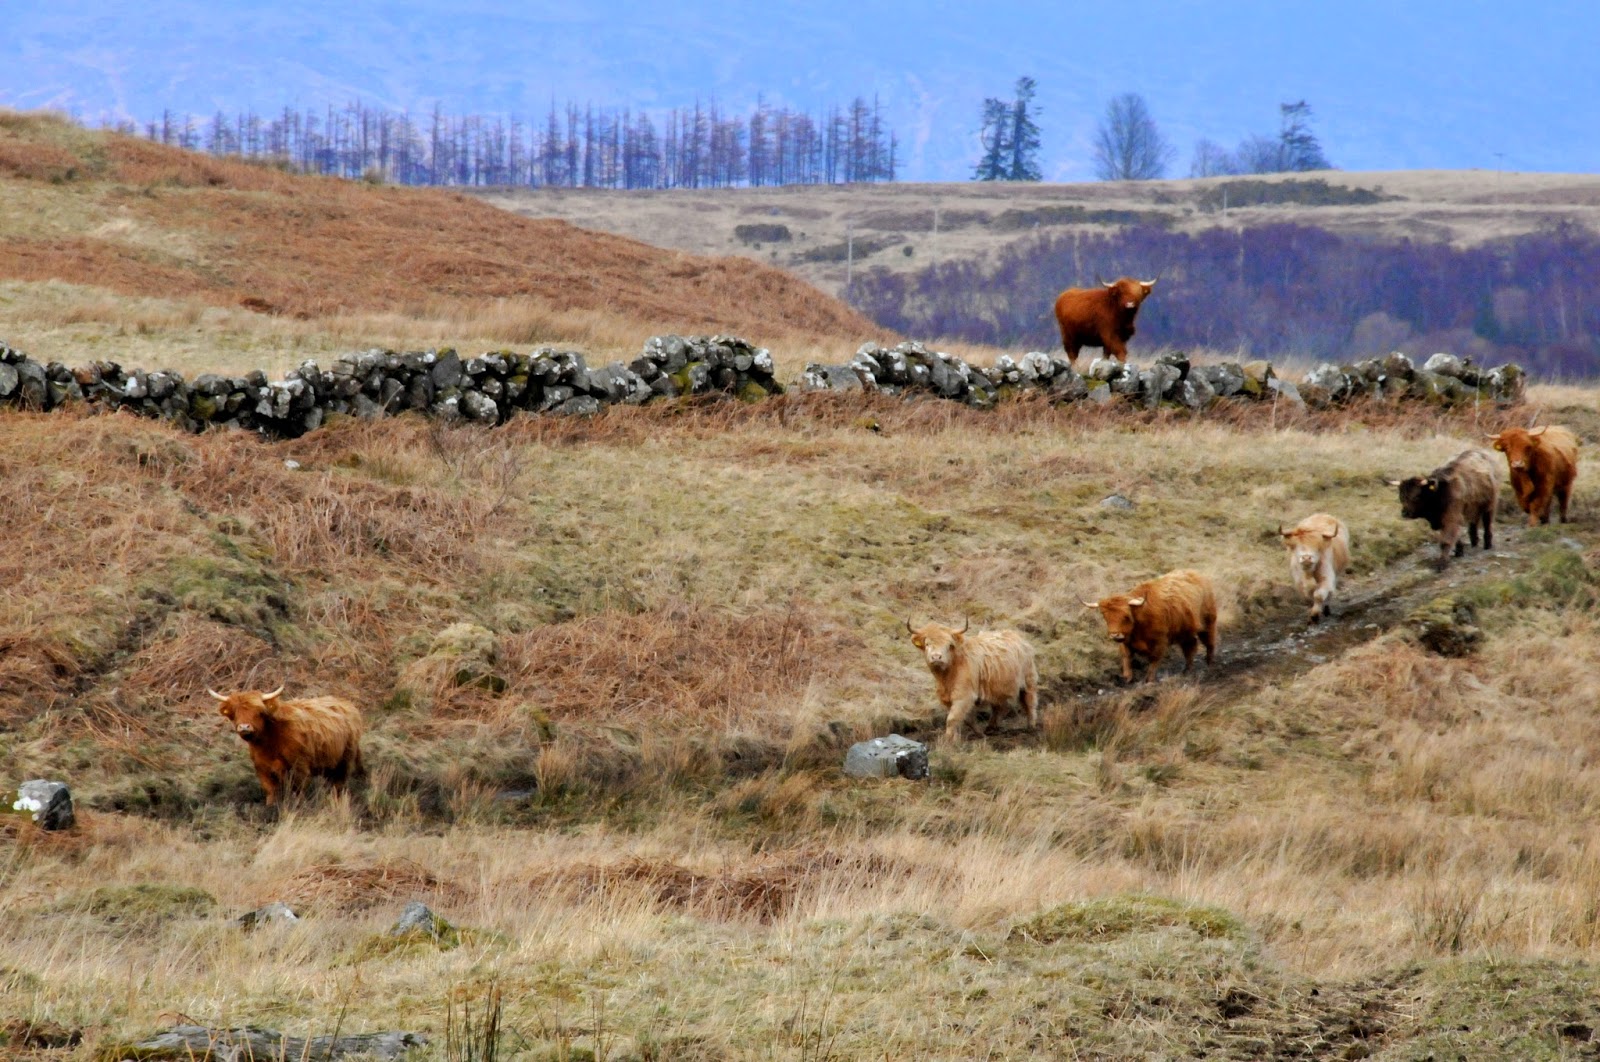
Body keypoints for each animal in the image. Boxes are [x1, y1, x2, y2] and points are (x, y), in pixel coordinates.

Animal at [209, 685, 364, 806]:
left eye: (259, 712)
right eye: (235, 712)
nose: (244, 727)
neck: (270, 743)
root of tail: (347, 704)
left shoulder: (299, 767)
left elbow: (298, 790)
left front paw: (298, 807)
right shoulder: (262, 769)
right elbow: (271, 791)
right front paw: (270, 808)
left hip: (345, 760)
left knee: (339, 783)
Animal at [906, 617, 1040, 743]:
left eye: (949, 645)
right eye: (927, 644)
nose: (936, 657)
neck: (946, 676)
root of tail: (1016, 635)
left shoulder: (964, 696)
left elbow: (952, 719)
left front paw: (948, 741)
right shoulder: (949, 698)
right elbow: (965, 719)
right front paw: (971, 735)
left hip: (1028, 680)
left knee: (1029, 701)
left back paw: (1031, 727)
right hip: (997, 688)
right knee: (1001, 706)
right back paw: (991, 727)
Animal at [1083, 569, 1218, 684]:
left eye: (1126, 616)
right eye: (1105, 616)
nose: (1115, 635)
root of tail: (1196, 575)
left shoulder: (1160, 641)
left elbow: (1154, 659)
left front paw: (1149, 680)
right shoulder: (1126, 641)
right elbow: (1126, 657)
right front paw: (1127, 677)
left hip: (1208, 622)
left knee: (1209, 642)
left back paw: (1210, 664)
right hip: (1185, 631)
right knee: (1190, 646)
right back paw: (1187, 670)